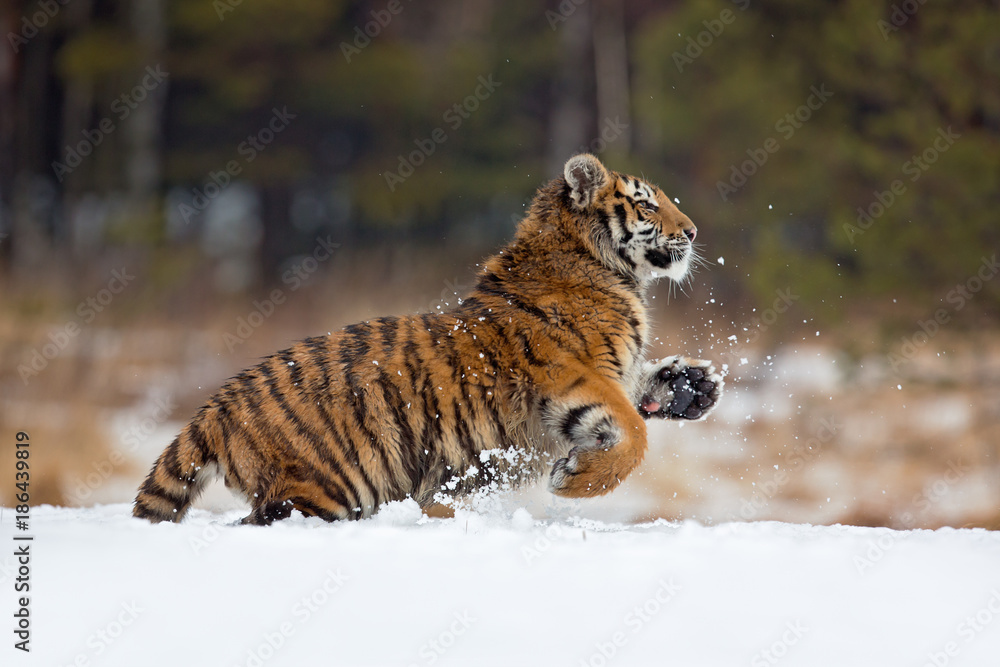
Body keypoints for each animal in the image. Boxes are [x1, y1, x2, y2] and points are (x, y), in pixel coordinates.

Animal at [133, 153, 724, 525]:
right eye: (647, 204)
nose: (695, 231)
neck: (605, 269)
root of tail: (215, 406)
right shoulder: (573, 377)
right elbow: (633, 436)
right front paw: (572, 481)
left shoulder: (612, 375)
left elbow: (642, 392)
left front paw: (695, 386)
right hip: (324, 489)